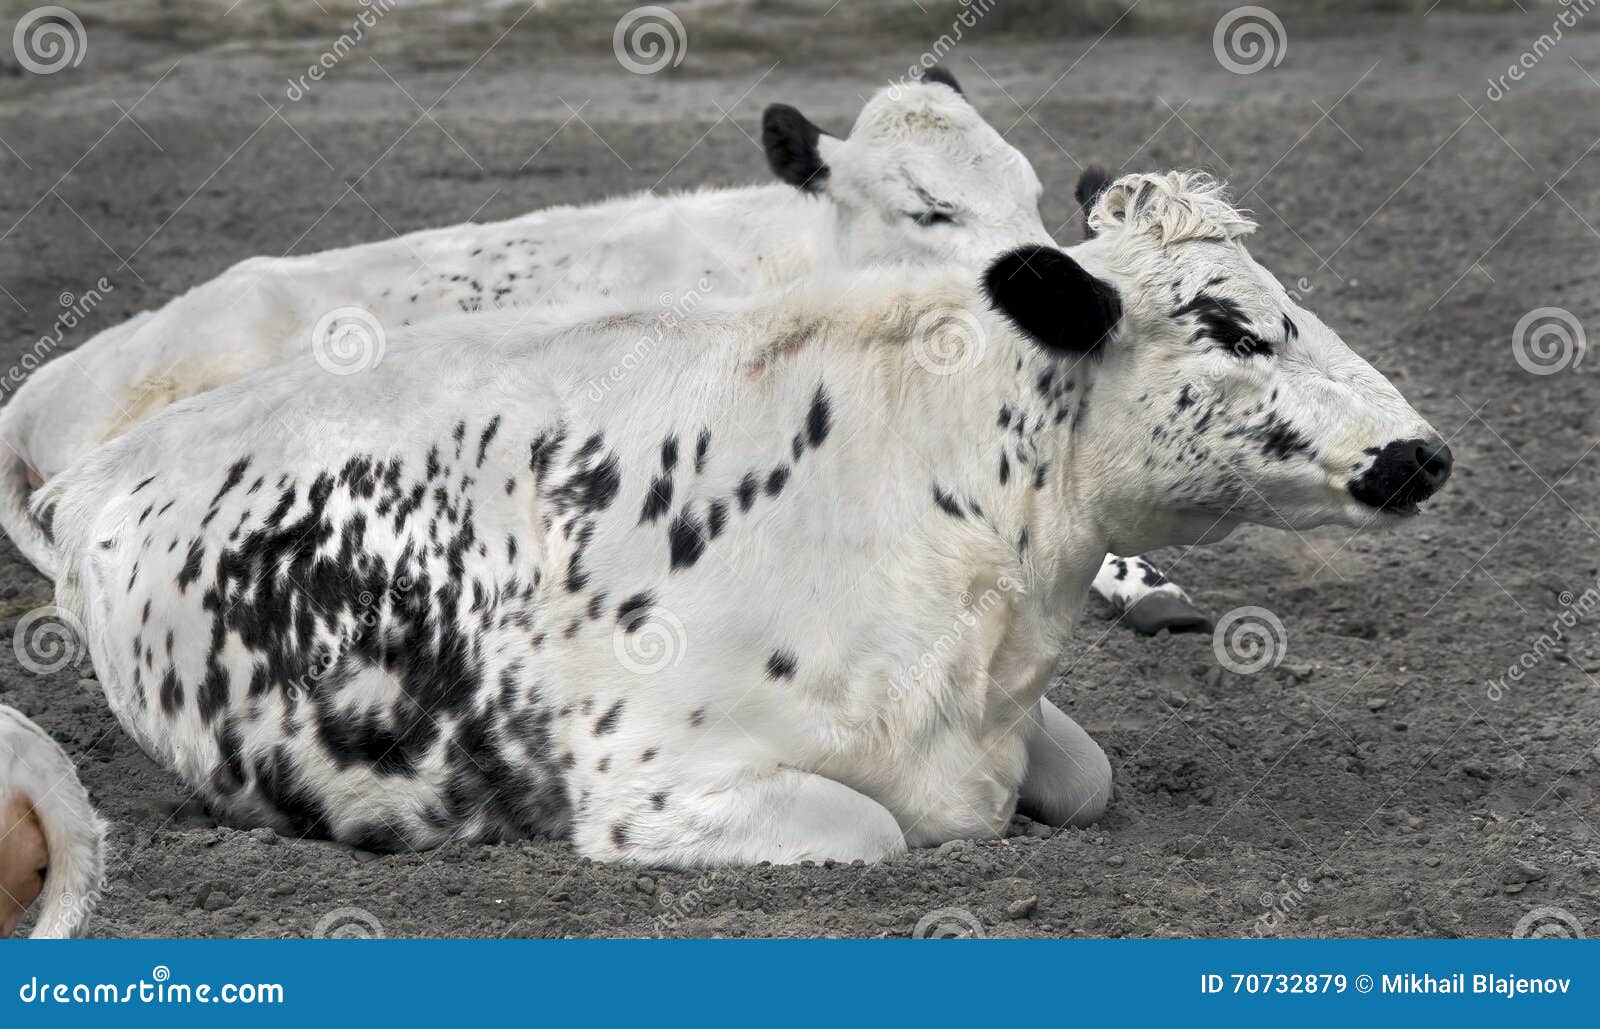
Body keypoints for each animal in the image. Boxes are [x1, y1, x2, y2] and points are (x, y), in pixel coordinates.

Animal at [36, 168, 1453, 867]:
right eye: (1233, 325)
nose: (1420, 454)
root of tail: (89, 467)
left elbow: (1087, 775)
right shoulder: (654, 787)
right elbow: (873, 832)